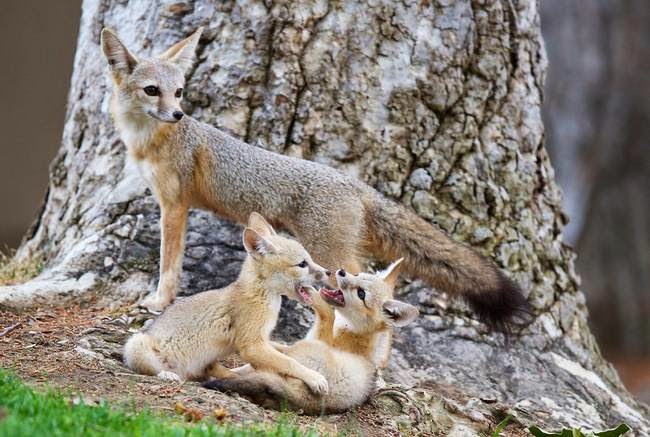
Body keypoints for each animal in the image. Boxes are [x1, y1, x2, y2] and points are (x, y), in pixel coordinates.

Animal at [100, 27, 529, 333]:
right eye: (152, 91)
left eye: (178, 92)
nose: (177, 114)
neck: (148, 141)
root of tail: (355, 184)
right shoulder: (174, 204)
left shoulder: (174, 206)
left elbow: (168, 264)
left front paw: (159, 301)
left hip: (333, 254)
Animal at [123, 212, 330, 394]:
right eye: (302, 264)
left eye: (310, 259)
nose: (328, 271)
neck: (262, 297)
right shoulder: (252, 346)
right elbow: (289, 362)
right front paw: (314, 377)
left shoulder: (262, 341)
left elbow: (283, 354)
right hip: (136, 344)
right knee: (155, 370)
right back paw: (168, 375)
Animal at [203, 259, 418, 414]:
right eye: (357, 274)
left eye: (361, 294)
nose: (341, 271)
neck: (350, 332)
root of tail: (302, 400)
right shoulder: (303, 340)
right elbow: (273, 345)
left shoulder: (316, 337)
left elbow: (327, 313)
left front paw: (312, 293)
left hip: (301, 354)